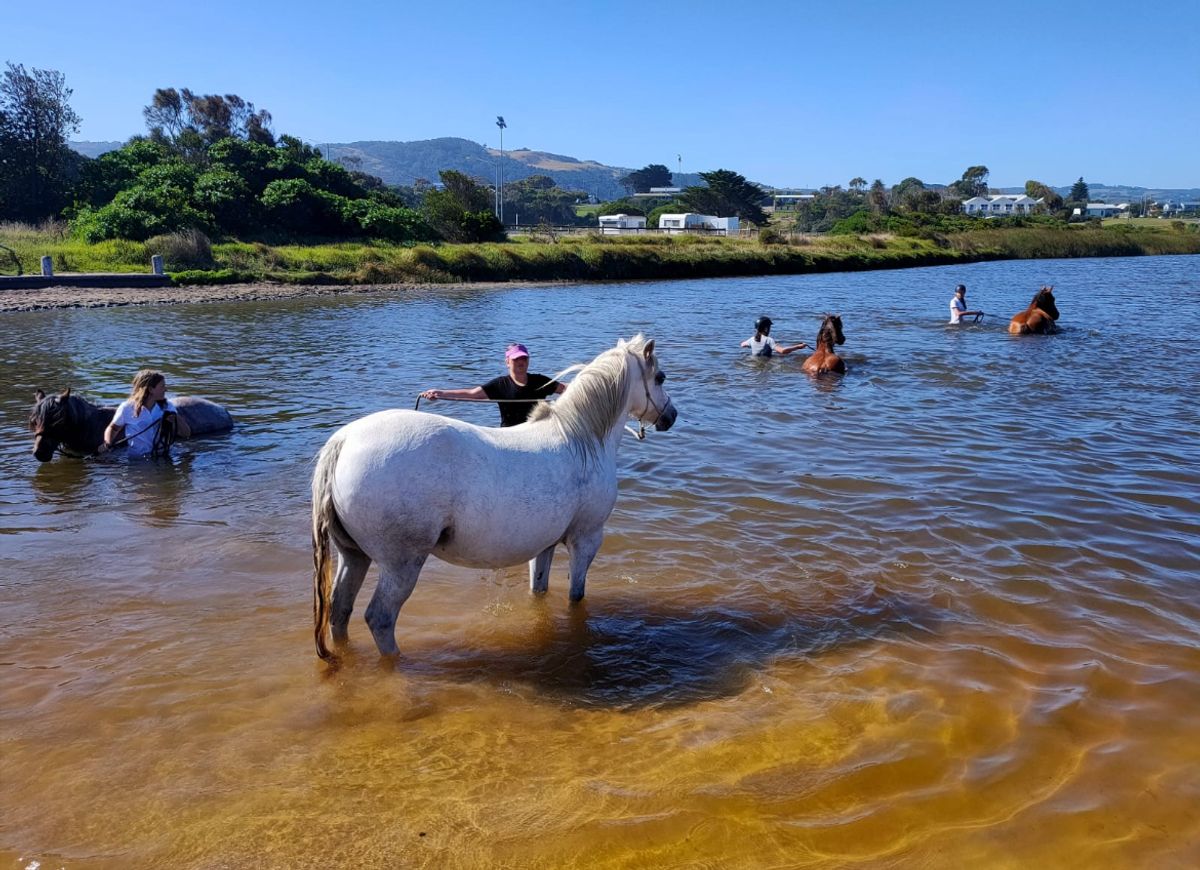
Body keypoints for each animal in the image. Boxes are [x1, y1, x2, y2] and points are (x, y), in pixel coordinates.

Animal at [311, 334, 678, 663]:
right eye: (659, 377)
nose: (670, 416)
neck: (582, 440)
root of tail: (344, 441)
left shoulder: (544, 545)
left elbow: (539, 590)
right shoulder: (585, 539)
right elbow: (576, 597)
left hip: (354, 556)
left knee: (339, 611)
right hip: (400, 564)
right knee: (379, 619)